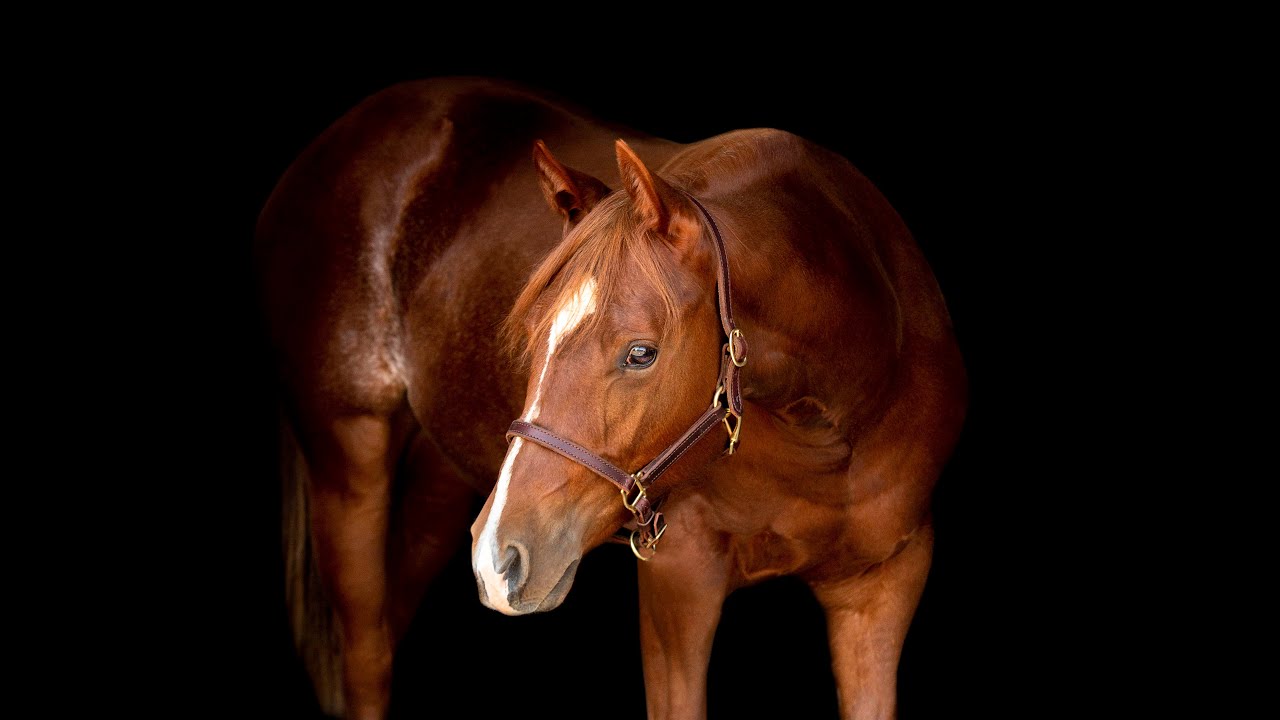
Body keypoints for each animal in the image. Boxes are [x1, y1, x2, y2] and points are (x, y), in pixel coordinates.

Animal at [256, 76, 966, 719]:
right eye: (531, 338)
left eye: (640, 353)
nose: (498, 559)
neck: (833, 425)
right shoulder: (678, 580)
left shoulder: (882, 591)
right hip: (349, 460)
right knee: (366, 654)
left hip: (441, 480)